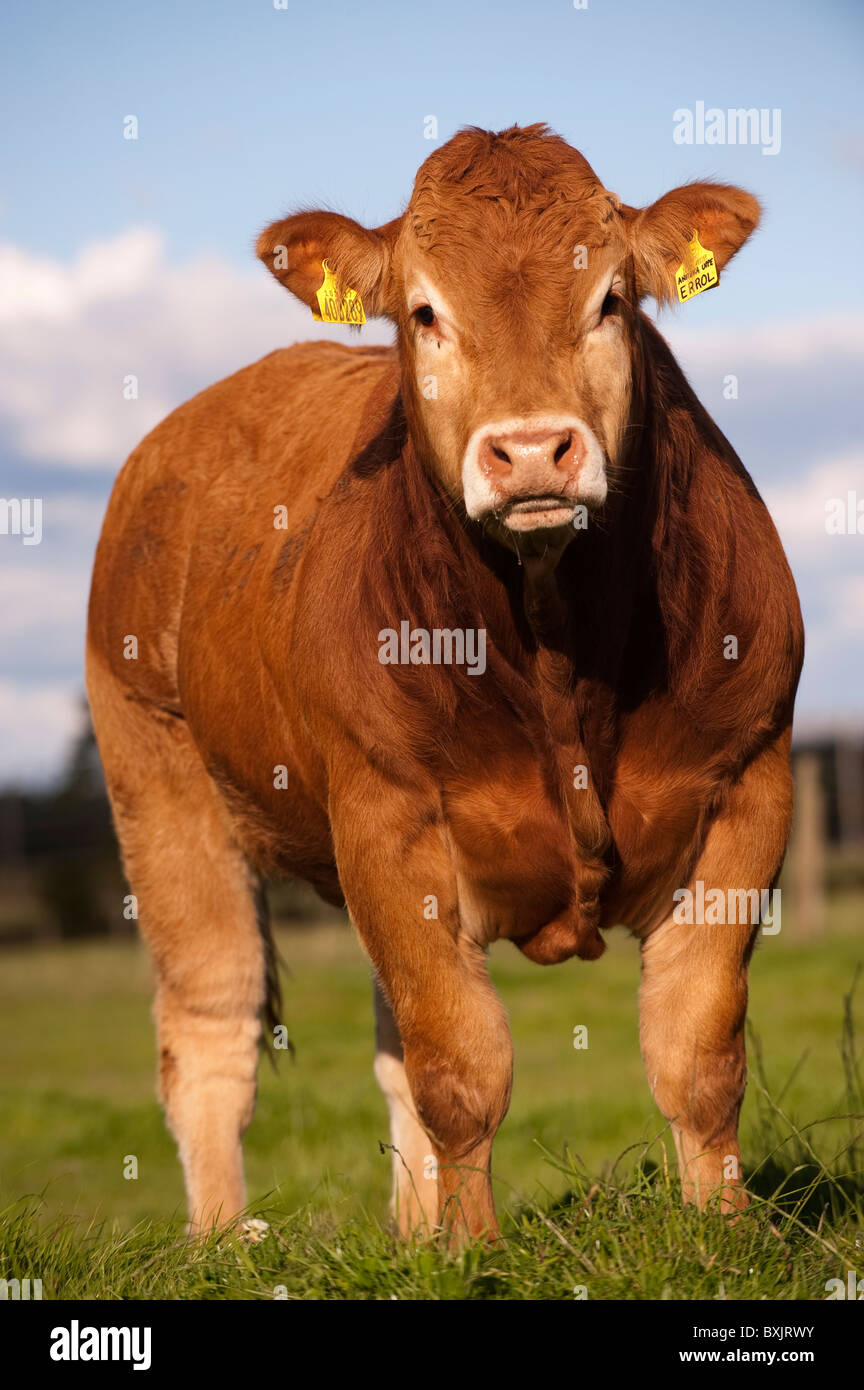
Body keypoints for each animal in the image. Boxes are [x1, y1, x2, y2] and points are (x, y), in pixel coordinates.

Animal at [86, 123, 803, 1242]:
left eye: (611, 300)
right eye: (424, 312)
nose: (531, 450)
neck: (555, 654)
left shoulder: (750, 785)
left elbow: (697, 1053)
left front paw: (720, 1235)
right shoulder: (388, 814)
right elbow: (460, 1065)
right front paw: (476, 1251)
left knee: (388, 1047)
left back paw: (411, 1233)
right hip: (156, 778)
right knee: (212, 1022)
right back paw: (223, 1243)